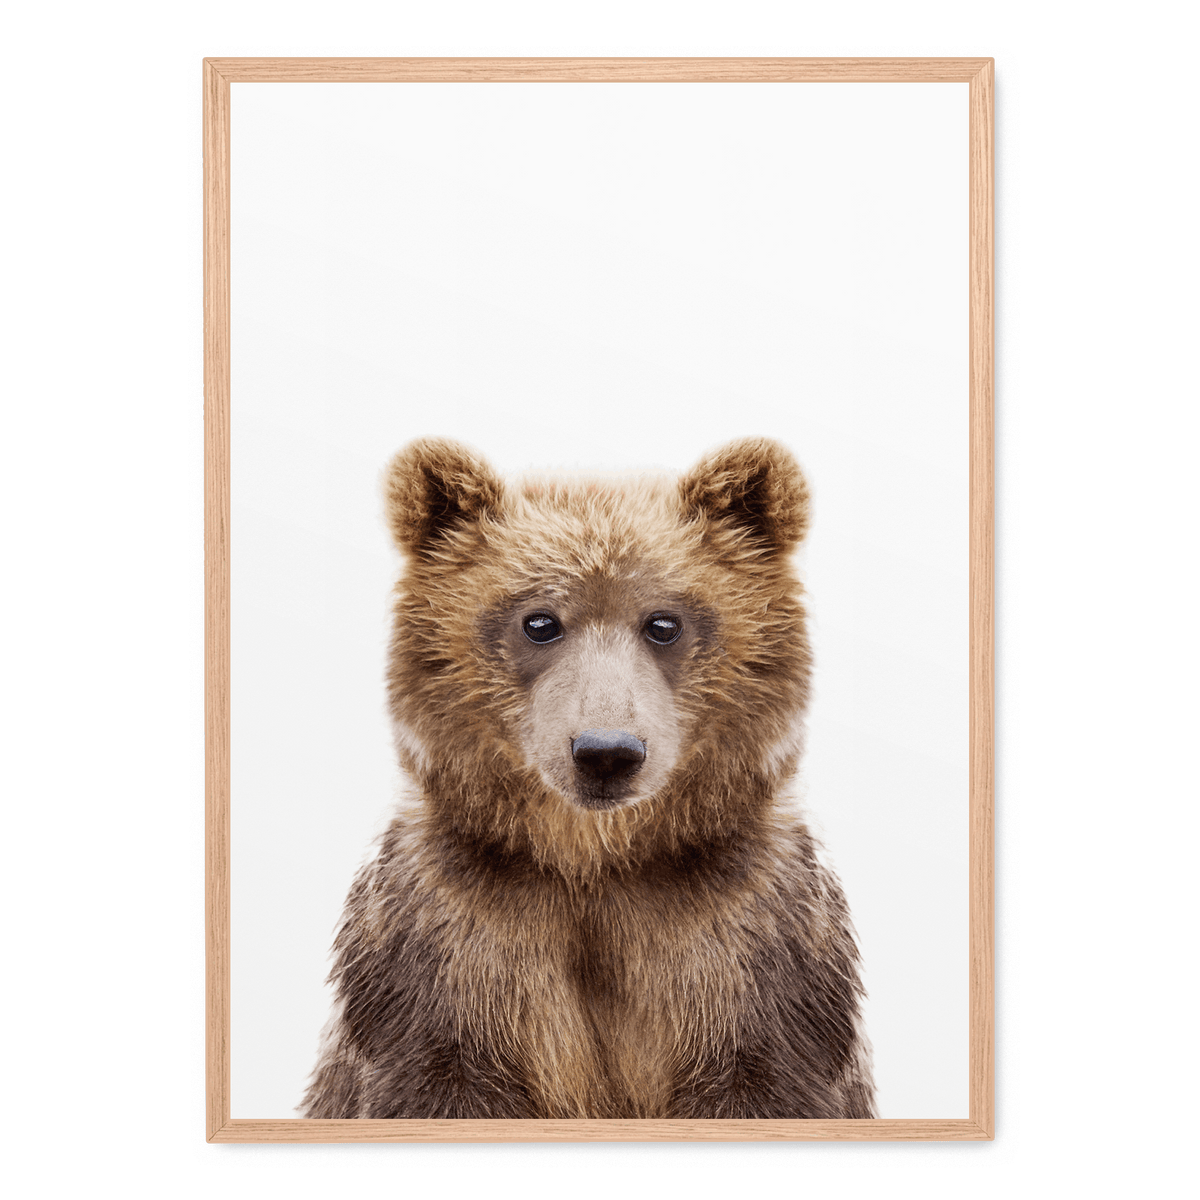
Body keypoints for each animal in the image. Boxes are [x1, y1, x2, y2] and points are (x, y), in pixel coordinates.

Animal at [301, 437, 876, 1121]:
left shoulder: (749, 944)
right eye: (540, 621)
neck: (595, 862)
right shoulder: (447, 943)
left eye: (663, 622)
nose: (606, 752)